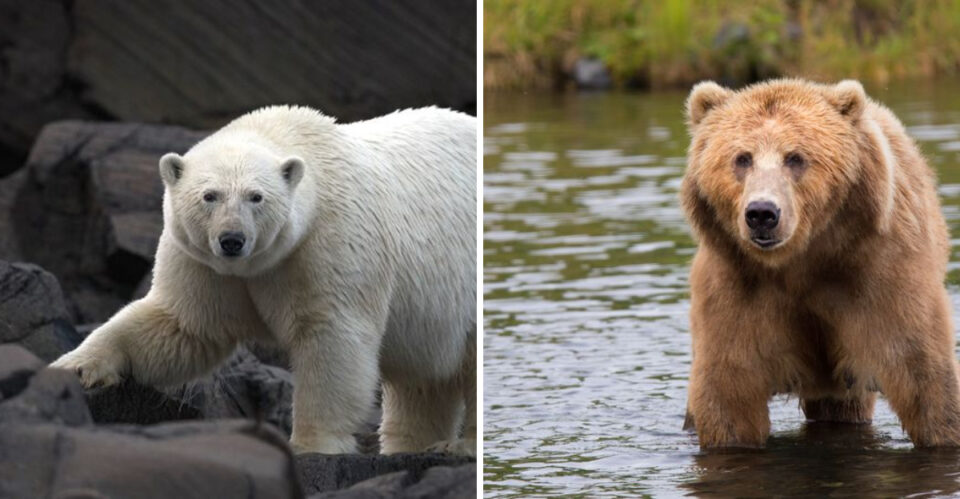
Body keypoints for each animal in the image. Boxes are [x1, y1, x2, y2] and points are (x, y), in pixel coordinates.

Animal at [51, 105, 477, 456]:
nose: (232, 239)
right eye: (209, 195)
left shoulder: (328, 244)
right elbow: (180, 325)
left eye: (256, 197)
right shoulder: (203, 262)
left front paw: (311, 444)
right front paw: (76, 368)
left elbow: (332, 337)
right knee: (421, 384)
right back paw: (410, 445)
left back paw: (457, 446)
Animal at [680, 78, 960, 448]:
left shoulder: (881, 274)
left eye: (795, 158)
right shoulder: (736, 287)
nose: (762, 213)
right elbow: (729, 390)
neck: (802, 260)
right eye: (742, 158)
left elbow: (922, 373)